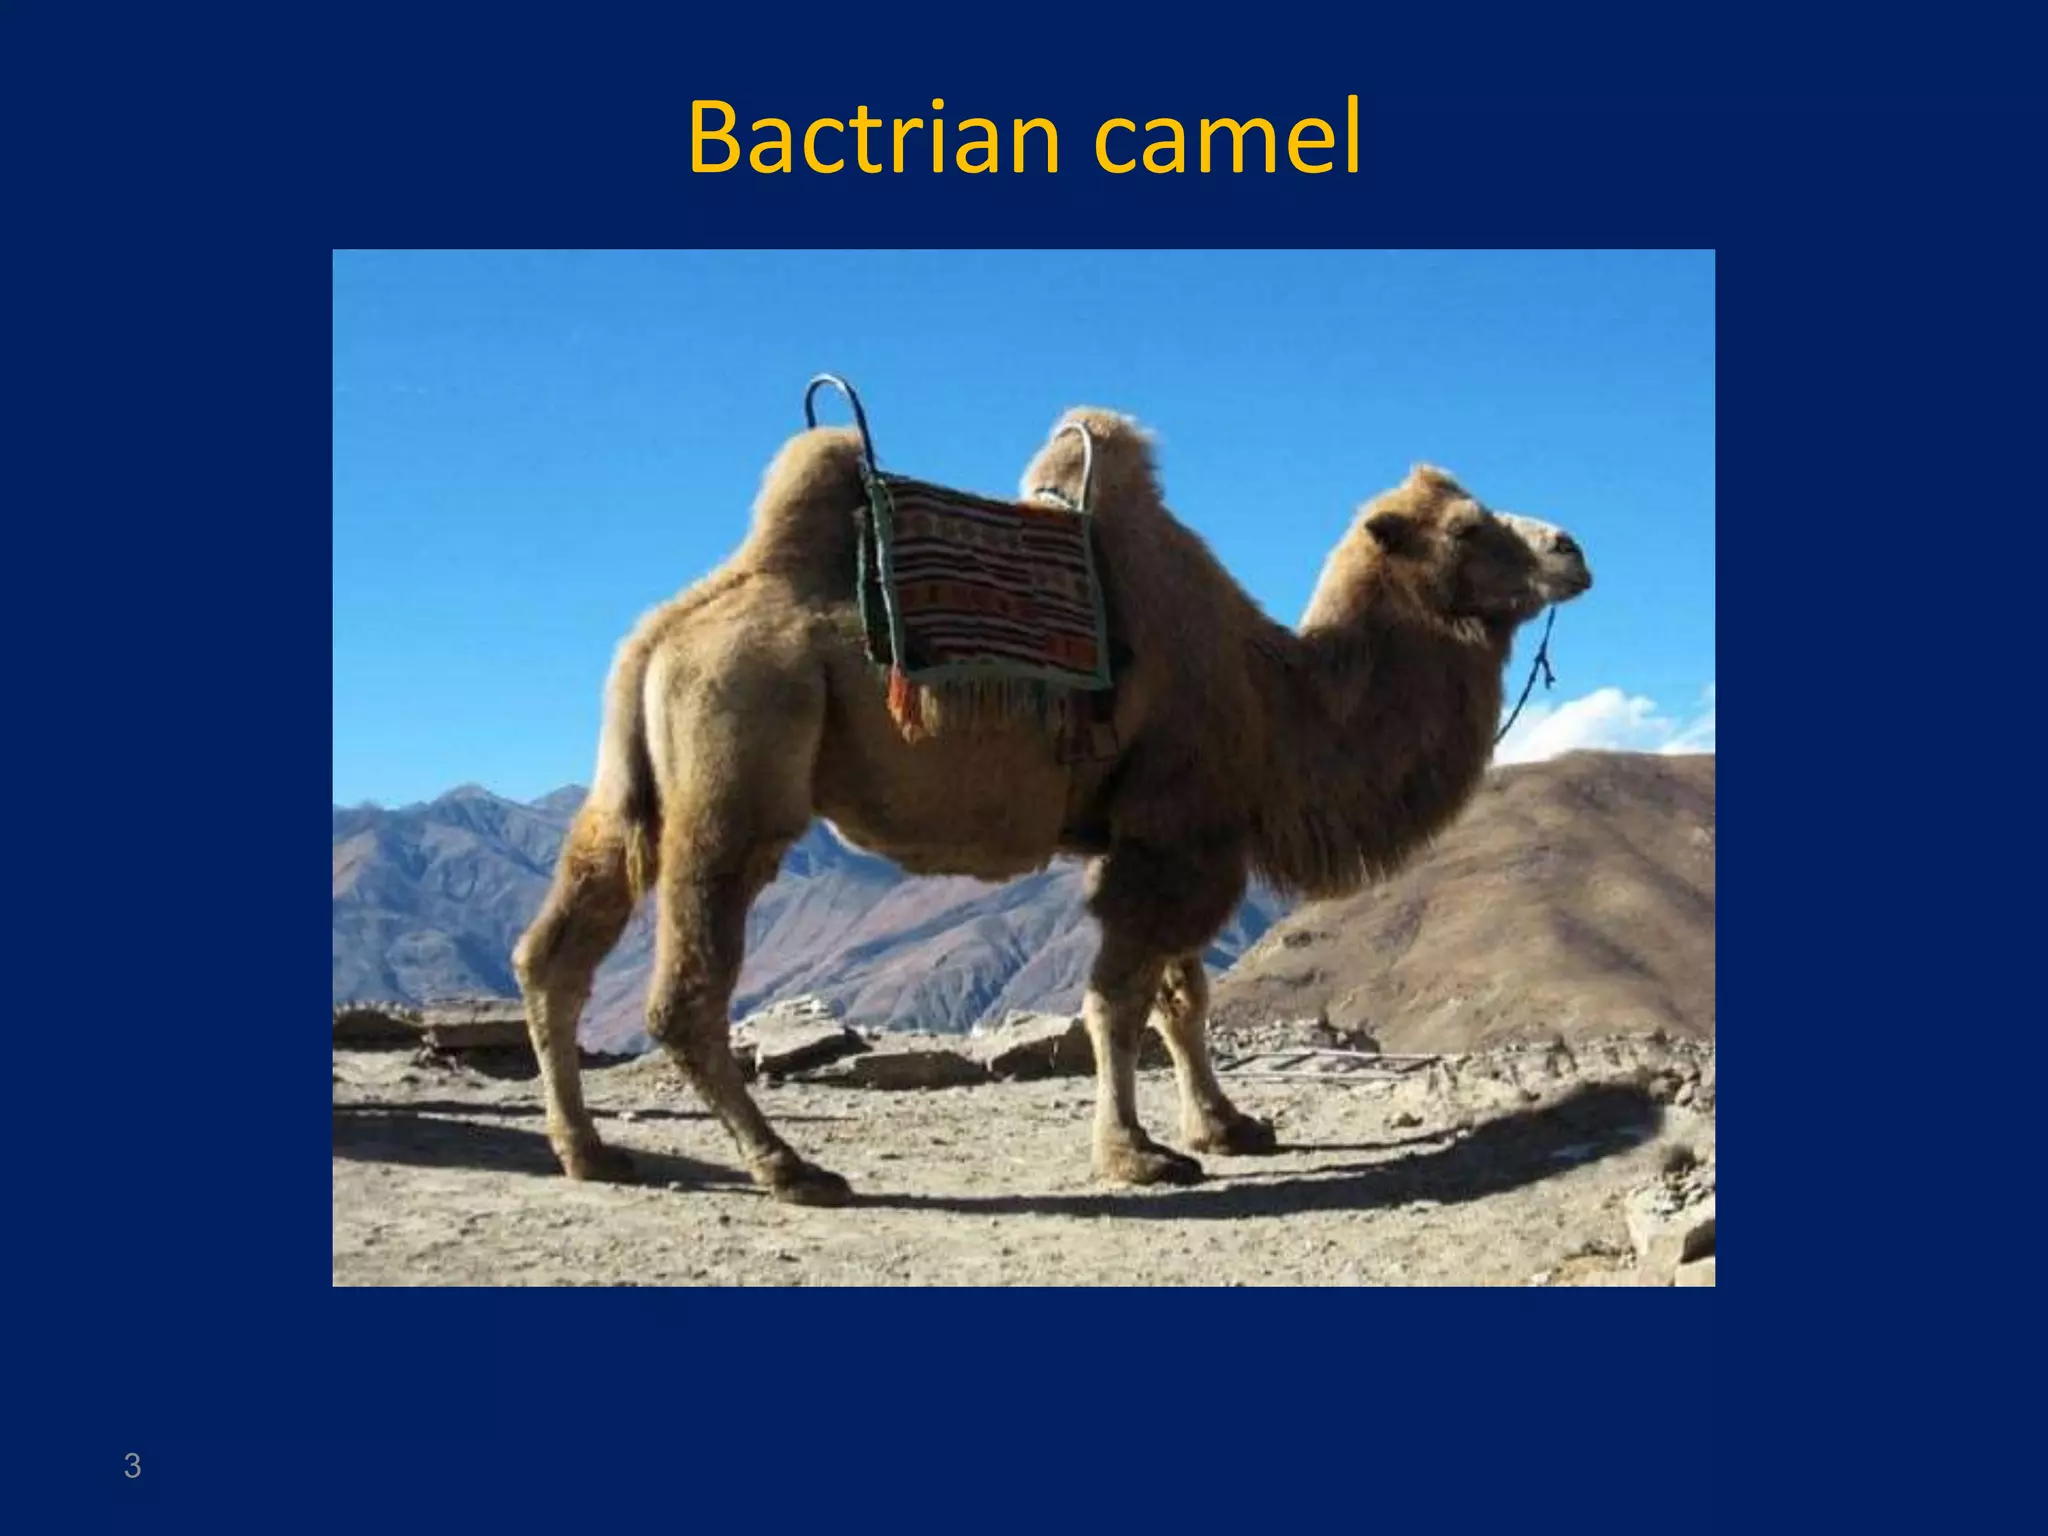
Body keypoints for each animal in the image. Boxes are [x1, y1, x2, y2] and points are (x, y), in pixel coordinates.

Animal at [513, 409, 1593, 1205]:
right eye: (1468, 528)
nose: (1572, 548)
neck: (1274, 697)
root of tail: (667, 630)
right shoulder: (1173, 836)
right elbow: (1120, 998)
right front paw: (1138, 1156)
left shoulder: (1162, 836)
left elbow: (1180, 997)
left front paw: (1229, 1126)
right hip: (737, 767)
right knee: (686, 986)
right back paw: (791, 1168)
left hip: (632, 789)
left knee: (557, 946)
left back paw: (589, 1152)